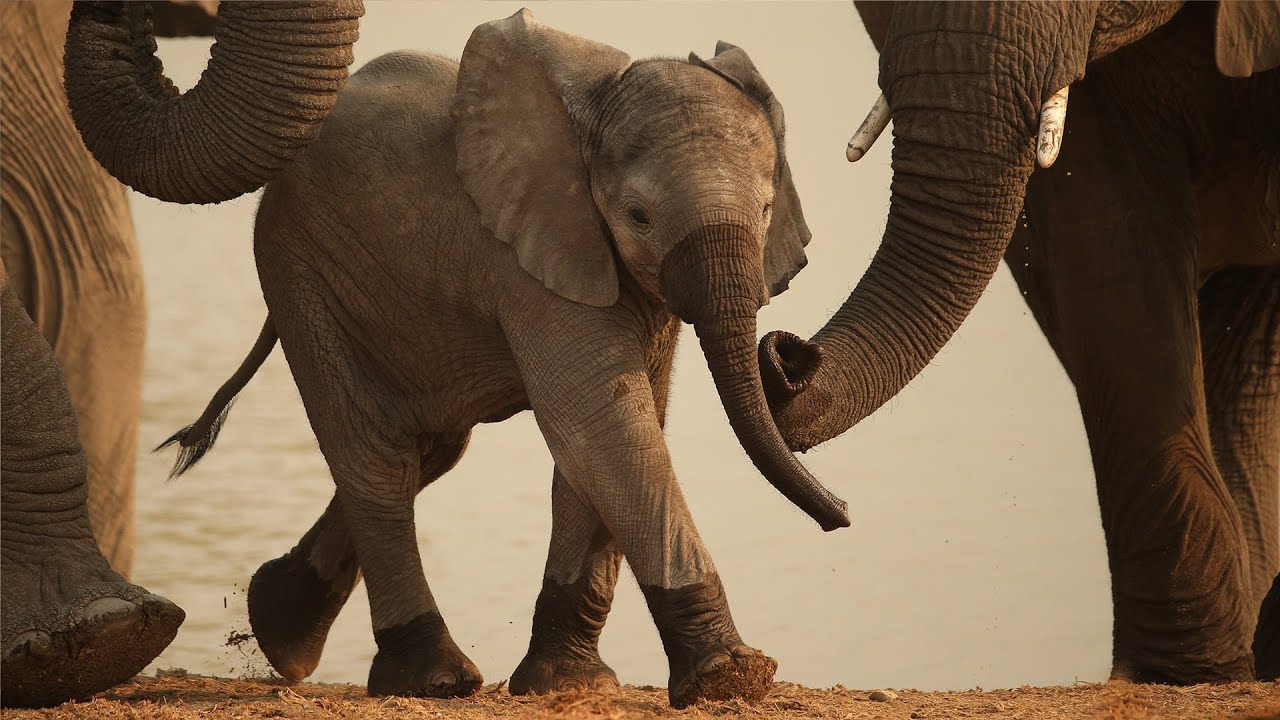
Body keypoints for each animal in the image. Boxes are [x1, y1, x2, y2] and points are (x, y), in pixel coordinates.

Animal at [159, 9, 848, 707]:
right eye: (639, 217)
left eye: (765, 211)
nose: (841, 517)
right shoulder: (531, 259)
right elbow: (602, 425)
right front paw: (730, 675)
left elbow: (614, 434)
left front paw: (567, 682)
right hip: (300, 269)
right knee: (376, 459)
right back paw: (433, 678)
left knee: (431, 448)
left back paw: (279, 626)